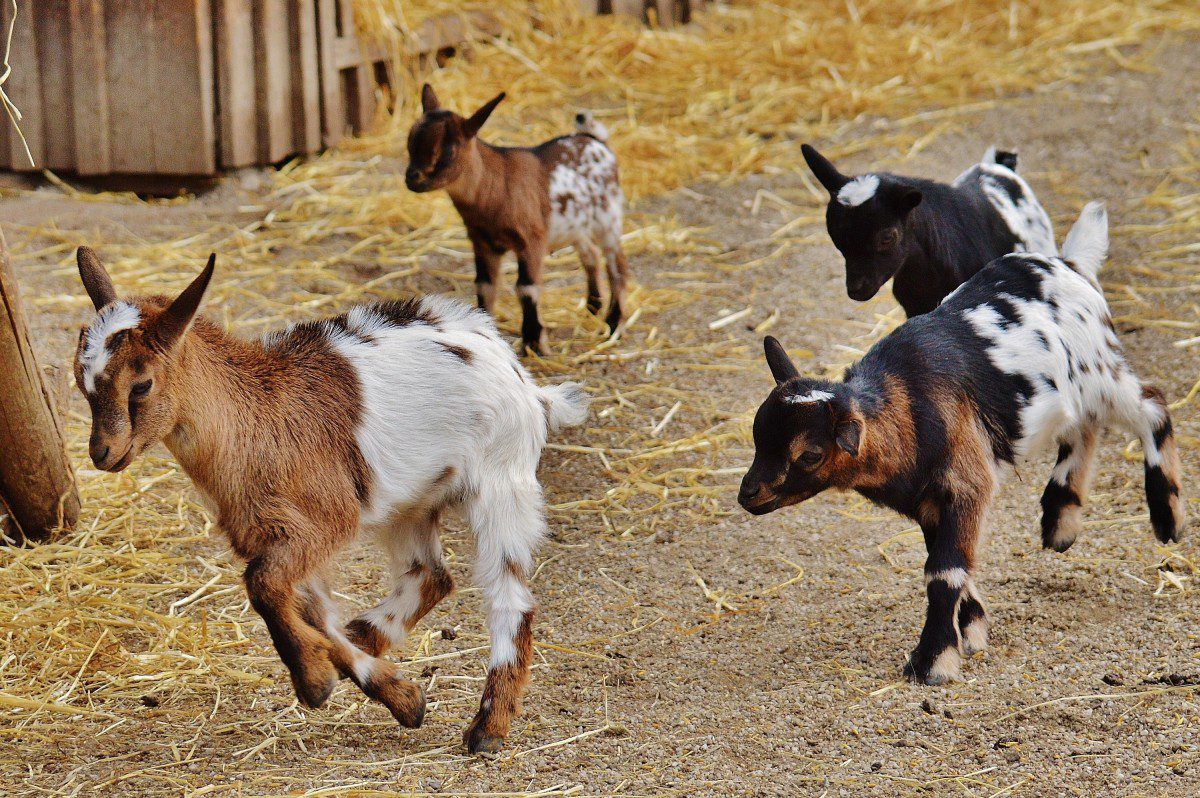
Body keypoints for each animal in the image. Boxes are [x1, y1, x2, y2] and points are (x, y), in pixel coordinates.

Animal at [73, 247, 589, 754]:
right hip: (409, 503)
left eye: (141, 385)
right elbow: (308, 612)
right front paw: (398, 696)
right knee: (430, 576)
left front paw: (315, 681)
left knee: (509, 598)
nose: (102, 453)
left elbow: (263, 586)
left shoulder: (323, 522)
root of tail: (526, 381)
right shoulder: (275, 535)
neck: (254, 418)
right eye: (82, 384)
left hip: (502, 482)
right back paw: (367, 636)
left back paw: (488, 729)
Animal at [405, 84, 629, 355]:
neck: (496, 187)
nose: (412, 178)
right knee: (591, 254)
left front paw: (535, 344)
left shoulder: (531, 240)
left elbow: (527, 288)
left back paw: (614, 323)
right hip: (575, 226)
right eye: (410, 142)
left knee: (616, 265)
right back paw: (593, 308)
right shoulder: (482, 242)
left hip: (608, 217)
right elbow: (485, 286)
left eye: (448, 151)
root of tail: (596, 141)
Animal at [738, 202, 1183, 684]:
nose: (748, 495)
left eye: (810, 454)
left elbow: (944, 572)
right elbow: (951, 563)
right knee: (1084, 428)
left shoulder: (966, 482)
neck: (909, 404)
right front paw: (970, 632)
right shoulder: (929, 502)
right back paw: (1060, 522)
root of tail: (1070, 263)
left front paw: (932, 661)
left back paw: (1167, 518)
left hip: (1101, 373)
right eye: (758, 434)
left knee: (1151, 406)